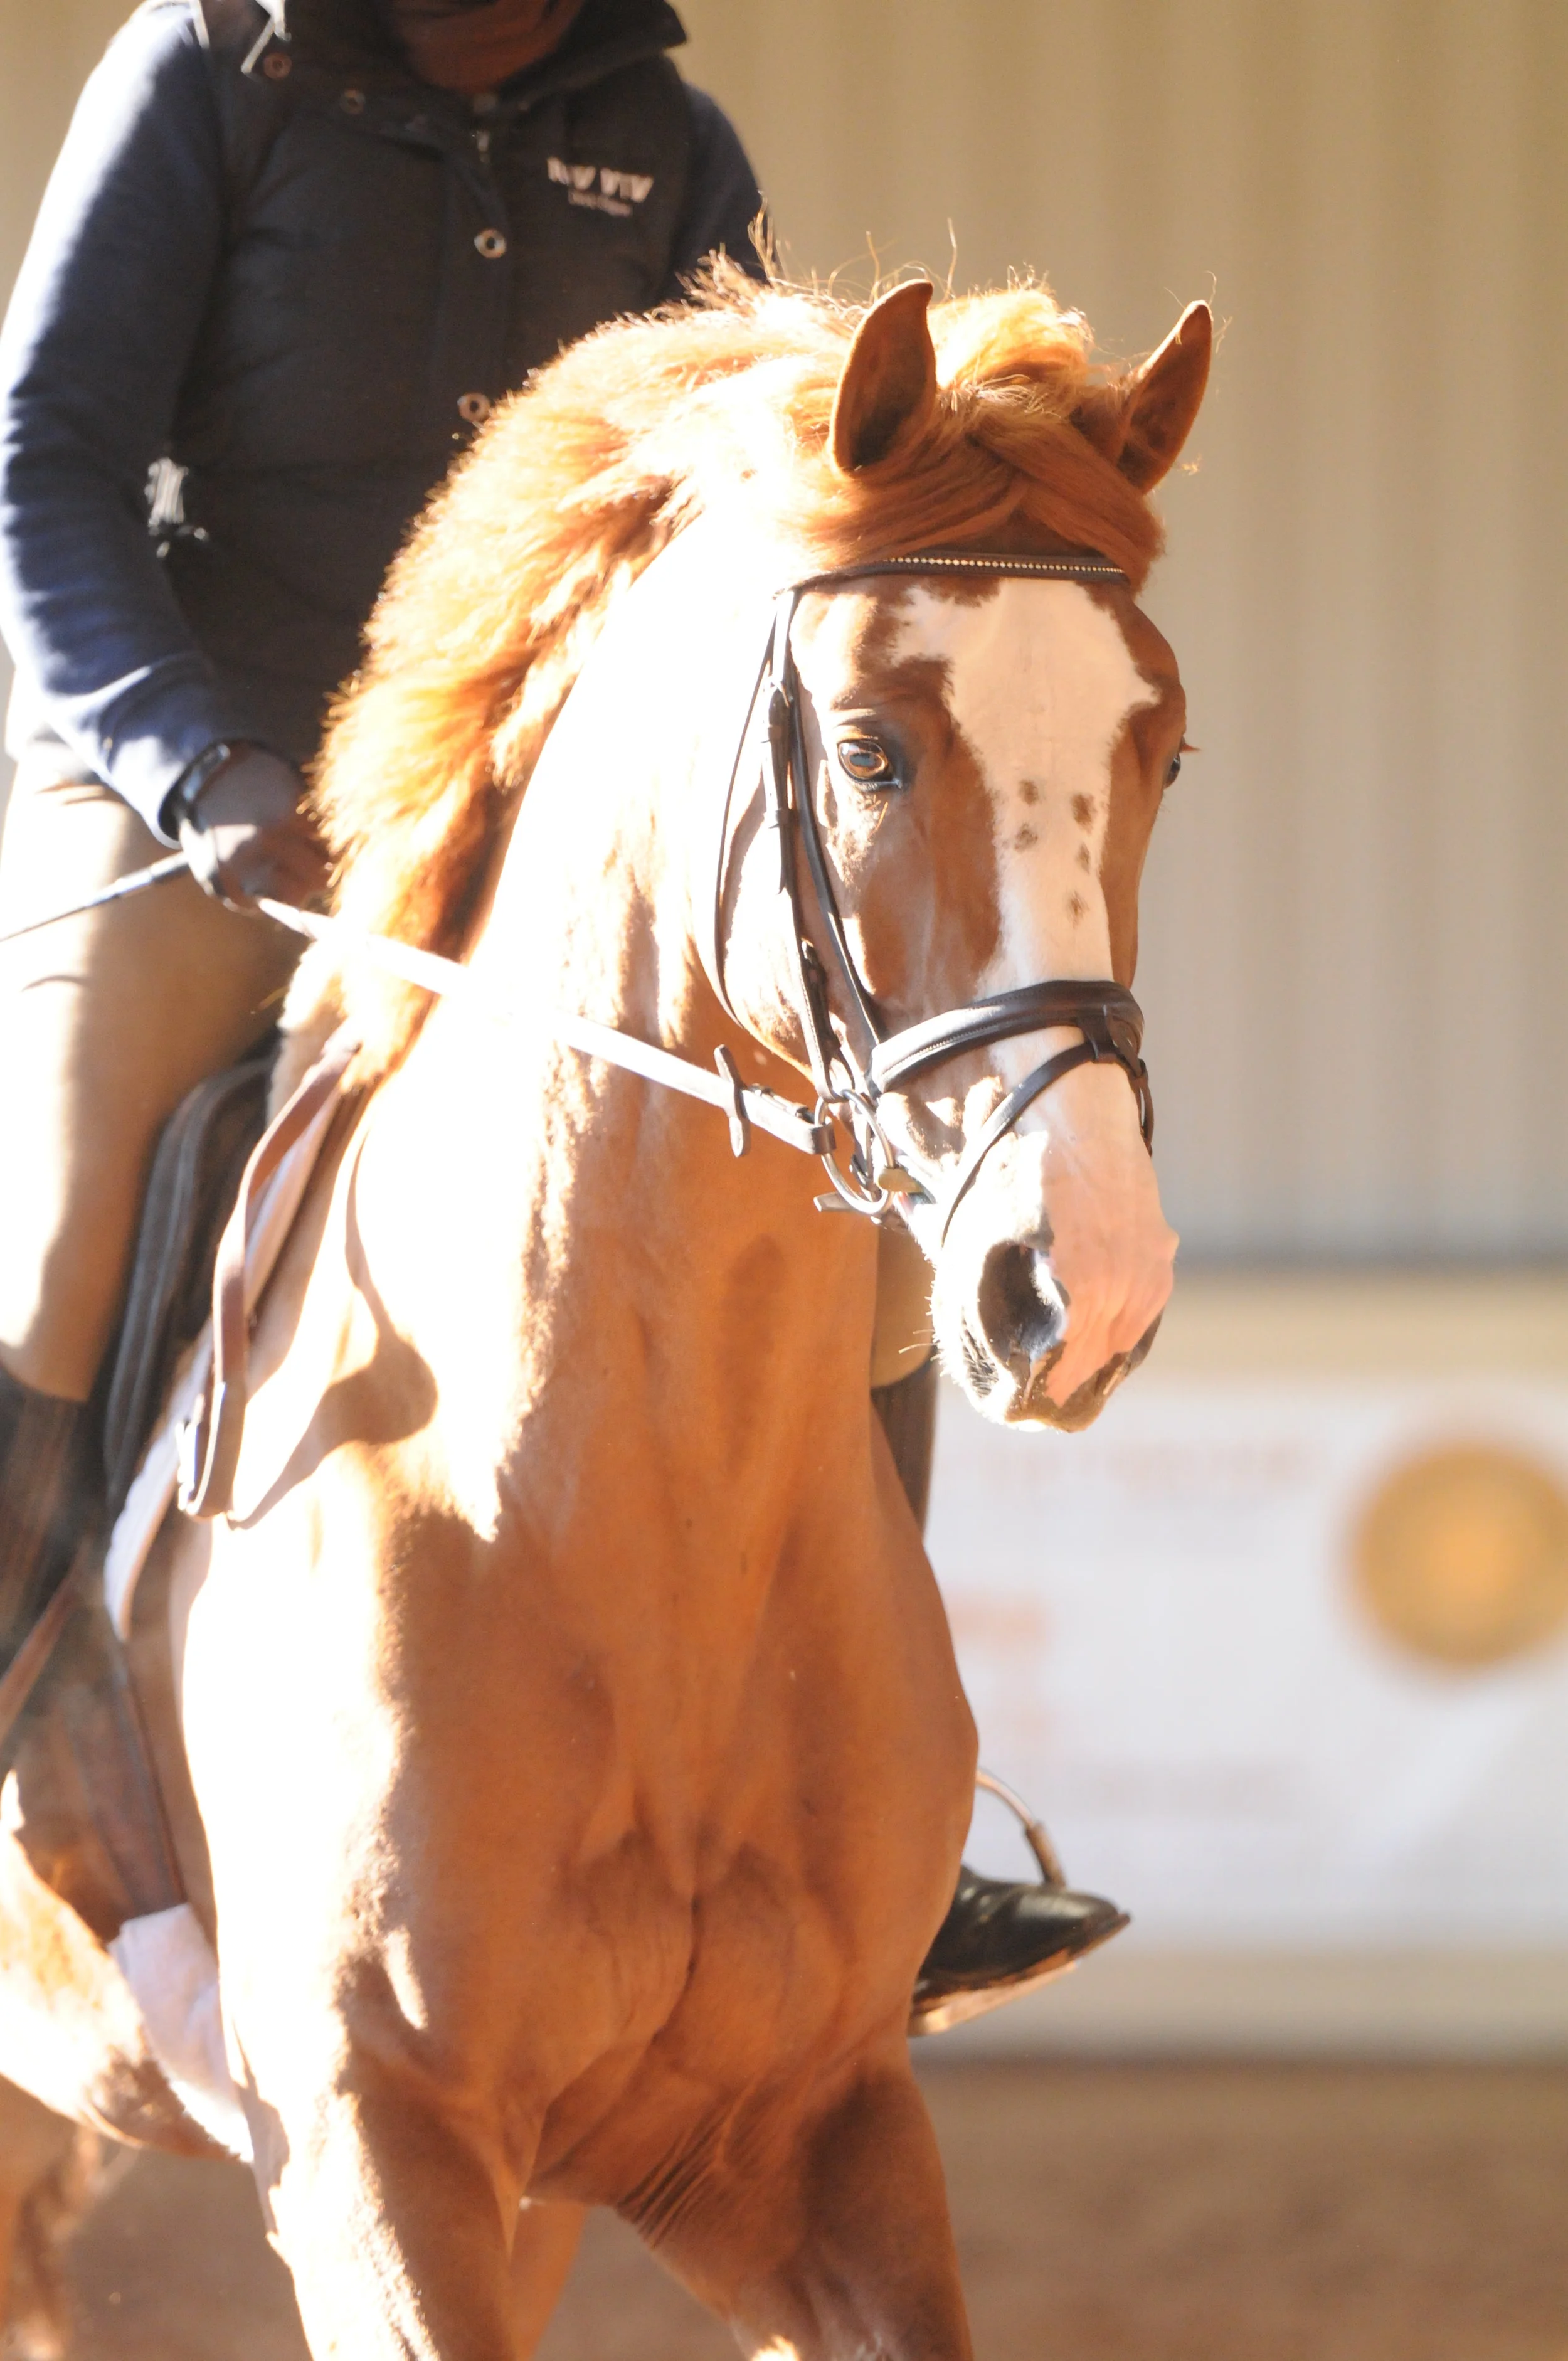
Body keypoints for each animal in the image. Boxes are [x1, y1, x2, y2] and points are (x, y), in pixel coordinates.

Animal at [0, 265, 1208, 2358]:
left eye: (1164, 749)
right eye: (870, 750)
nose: (1086, 1278)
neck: (611, 1508)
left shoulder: (800, 2137)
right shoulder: (372, 2157)